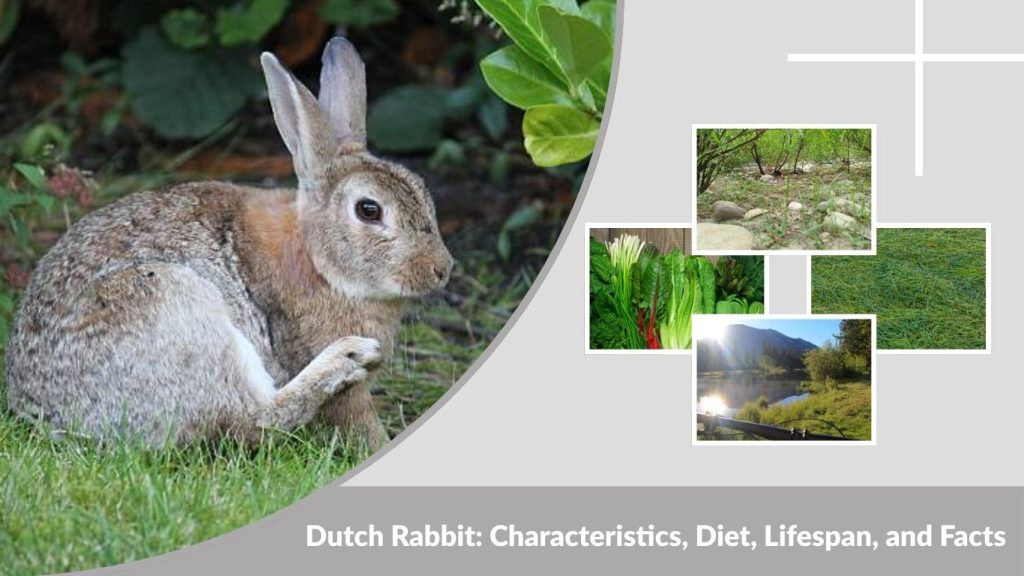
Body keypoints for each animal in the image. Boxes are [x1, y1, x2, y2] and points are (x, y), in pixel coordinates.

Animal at [4, 37, 454, 451]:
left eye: (423, 190)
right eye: (369, 210)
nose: (443, 269)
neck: (318, 259)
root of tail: (53, 417)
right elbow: (354, 418)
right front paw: (379, 443)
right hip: (166, 301)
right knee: (252, 420)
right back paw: (347, 357)